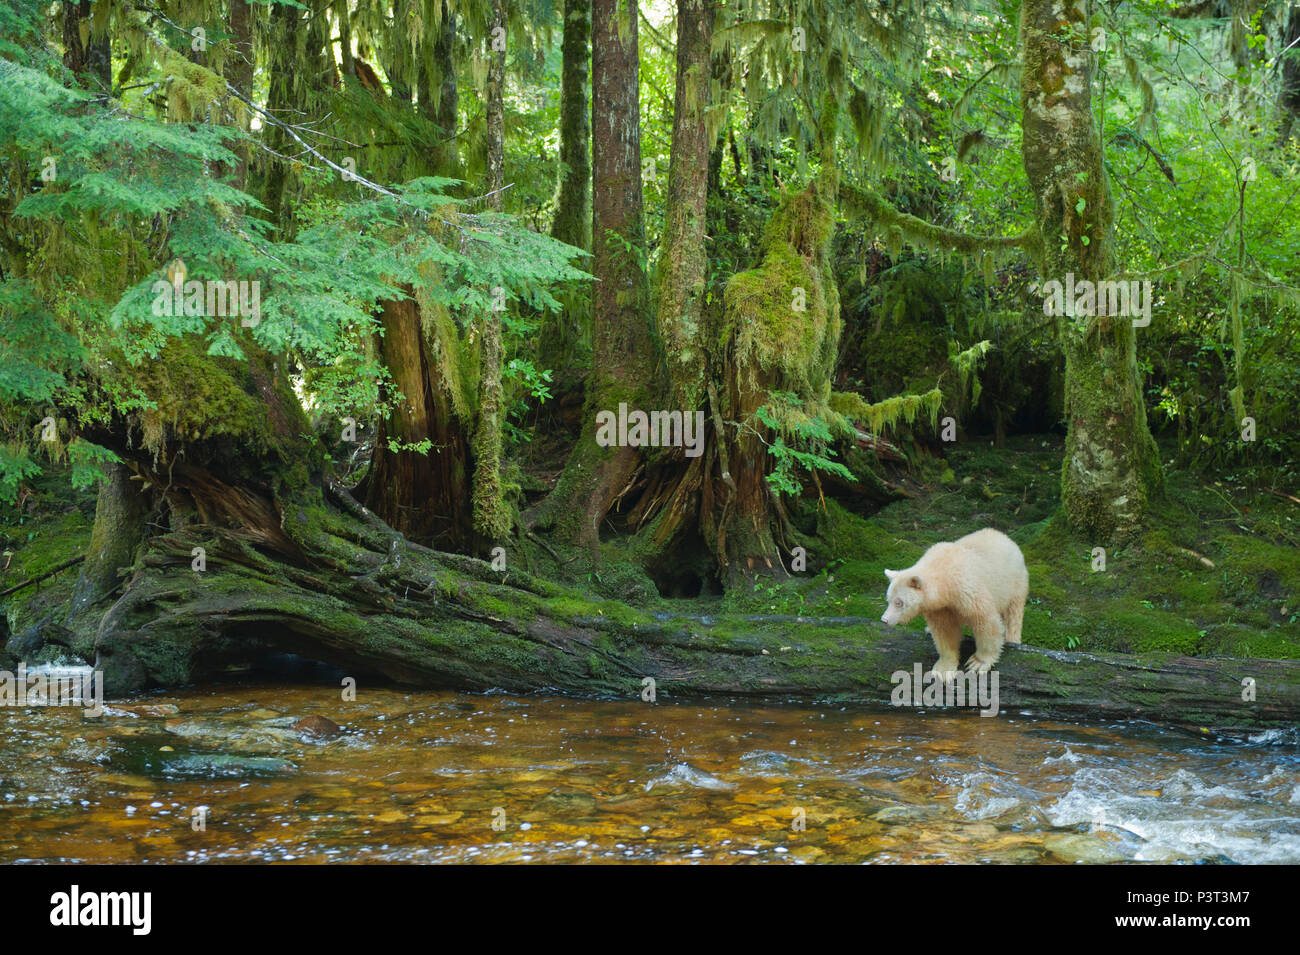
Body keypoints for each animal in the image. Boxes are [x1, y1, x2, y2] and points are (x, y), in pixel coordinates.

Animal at [879, 528, 1028, 678]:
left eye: (899, 602)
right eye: (888, 599)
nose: (884, 620)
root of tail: (1004, 537)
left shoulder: (966, 589)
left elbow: (985, 621)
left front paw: (978, 662)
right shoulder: (940, 608)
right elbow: (944, 630)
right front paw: (943, 670)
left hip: (1015, 582)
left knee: (1013, 614)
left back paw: (1012, 639)